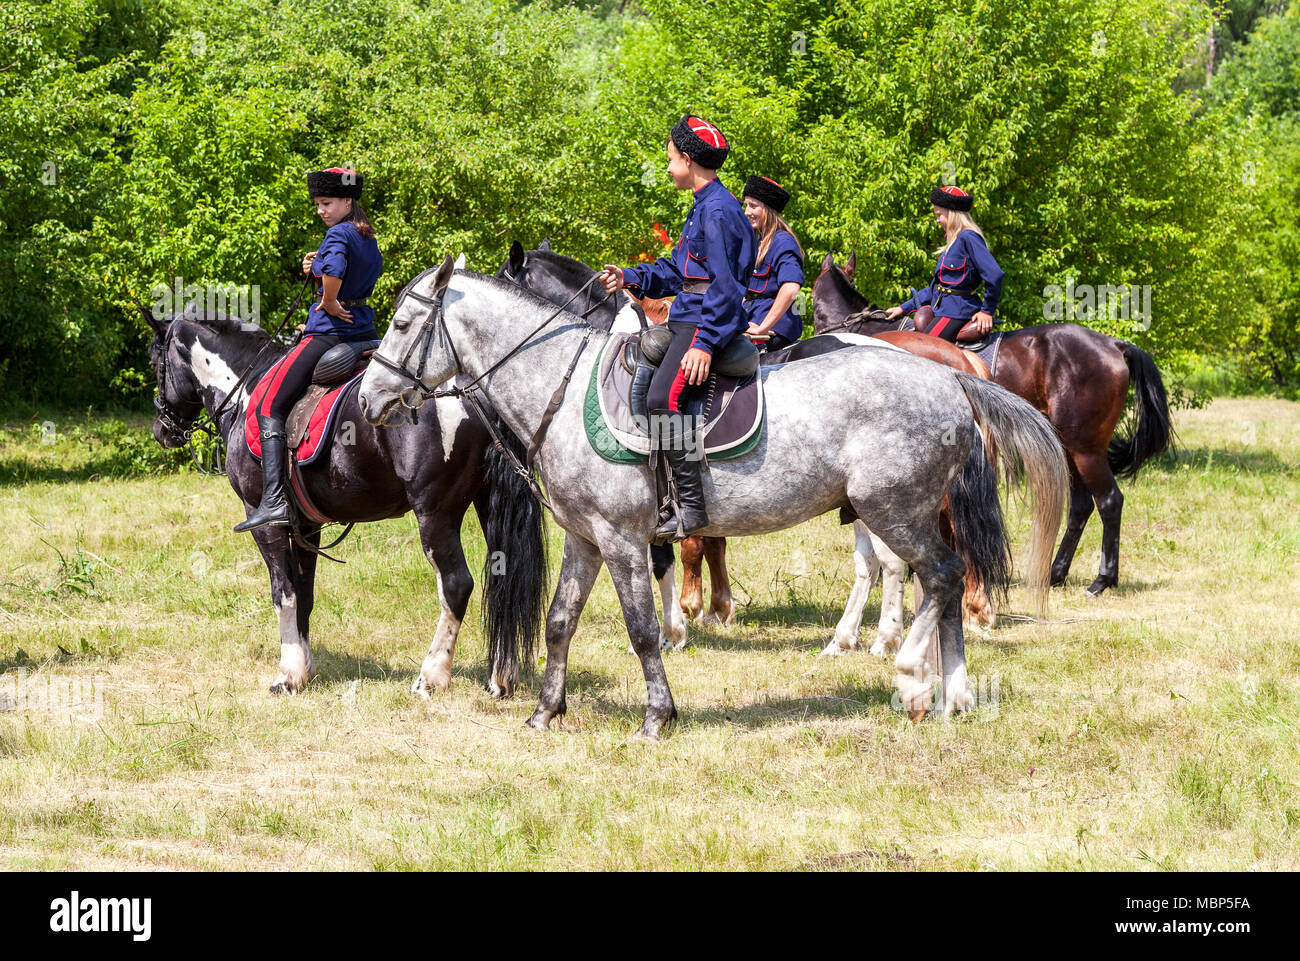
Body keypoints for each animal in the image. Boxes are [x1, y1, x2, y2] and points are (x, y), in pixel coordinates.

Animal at [146, 301, 548, 698]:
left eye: (156, 362)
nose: (162, 430)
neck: (246, 387)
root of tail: (471, 390)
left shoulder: (266, 523)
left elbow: (284, 593)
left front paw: (287, 675)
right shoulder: (306, 526)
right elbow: (304, 594)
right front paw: (304, 668)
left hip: (436, 514)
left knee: (456, 585)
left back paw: (431, 676)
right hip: (486, 504)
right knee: (505, 580)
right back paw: (500, 678)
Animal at [359, 258, 1068, 737]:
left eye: (401, 323)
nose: (367, 402)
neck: (559, 385)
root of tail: (950, 378)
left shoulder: (622, 538)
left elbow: (643, 628)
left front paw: (657, 716)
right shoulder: (584, 537)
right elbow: (560, 621)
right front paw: (544, 712)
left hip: (895, 510)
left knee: (939, 576)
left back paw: (912, 677)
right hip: (905, 512)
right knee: (940, 581)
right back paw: (952, 696)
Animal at [814, 251, 1174, 596]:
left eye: (815, 301)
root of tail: (1113, 344)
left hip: (1086, 449)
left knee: (1110, 501)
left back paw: (1102, 580)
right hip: (1070, 448)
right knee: (1081, 506)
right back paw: (1056, 573)